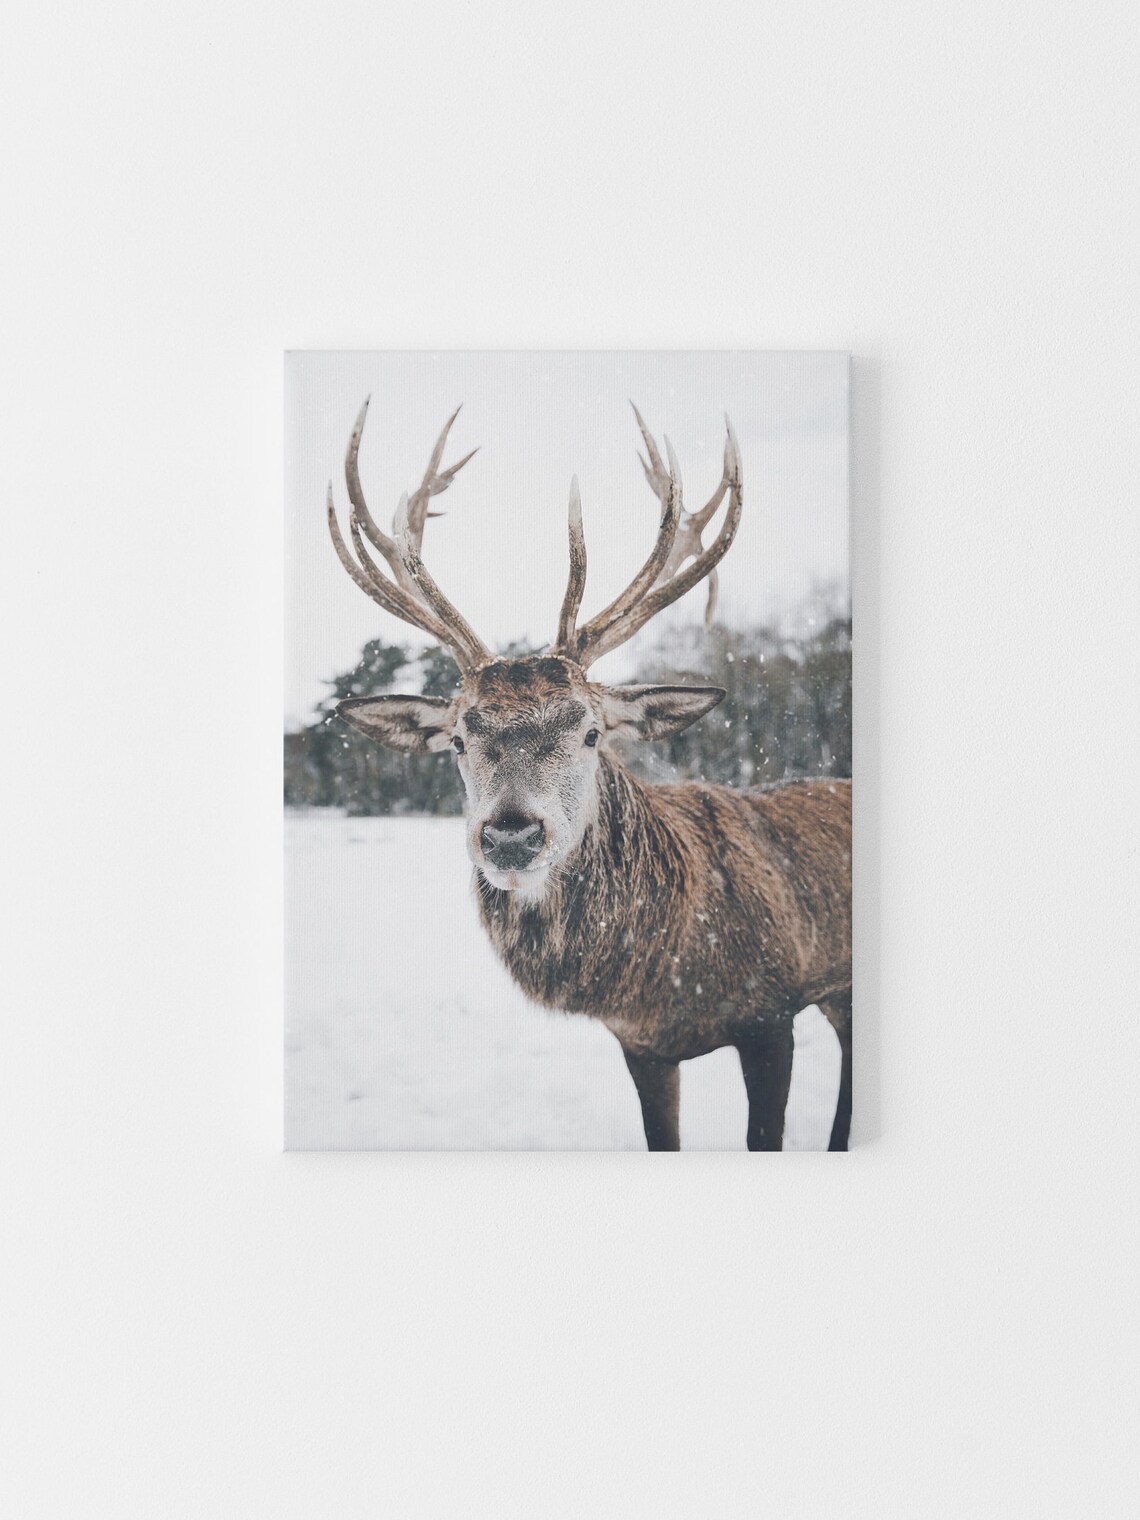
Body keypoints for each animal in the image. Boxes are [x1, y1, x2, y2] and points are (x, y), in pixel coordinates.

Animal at [324, 398, 852, 1150]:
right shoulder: (641, 1046)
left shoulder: (772, 1012)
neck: (666, 977)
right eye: (457, 739)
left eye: (592, 732)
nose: (511, 835)